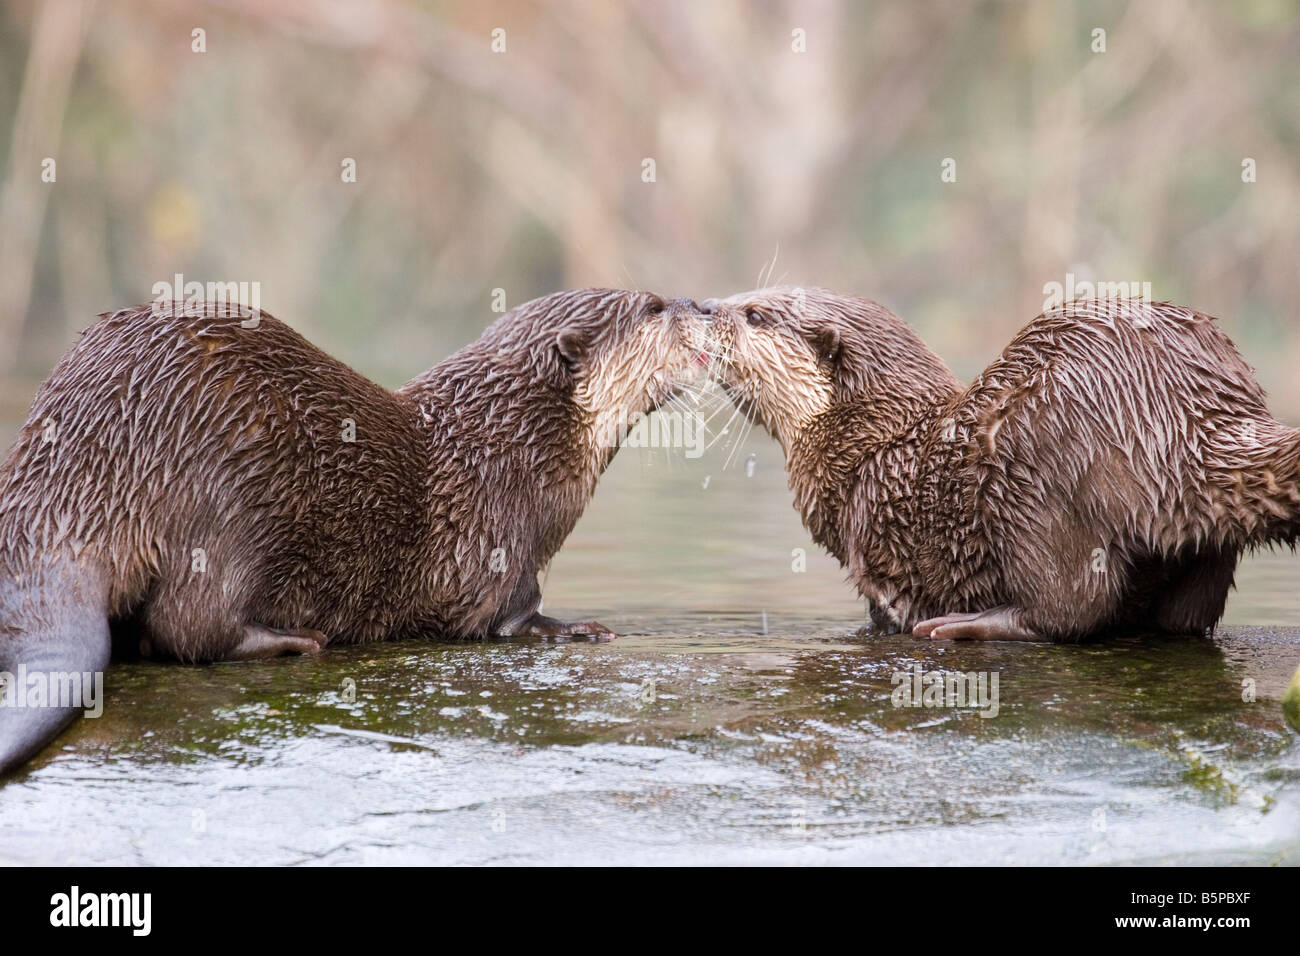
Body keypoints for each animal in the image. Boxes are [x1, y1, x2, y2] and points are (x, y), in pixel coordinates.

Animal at [0, 289, 707, 774]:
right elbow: (506, 620)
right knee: (188, 627)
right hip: (233, 498)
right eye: (653, 306)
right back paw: (293, 641)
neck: (510, 446)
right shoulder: (496, 543)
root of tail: (67, 500)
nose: (702, 304)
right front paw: (578, 627)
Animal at [704, 288, 1300, 642]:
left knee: (1069, 610)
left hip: (1031, 470)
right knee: (1185, 614)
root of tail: (1188, 423)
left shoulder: (873, 539)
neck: (871, 447)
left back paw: (969, 624)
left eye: (754, 313)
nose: (703, 306)